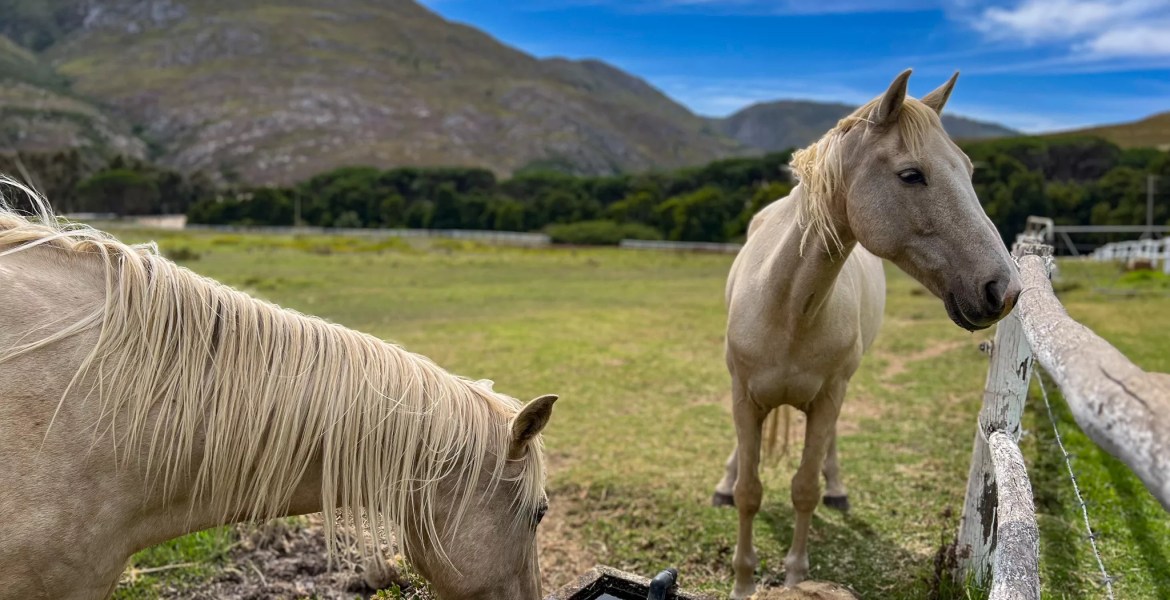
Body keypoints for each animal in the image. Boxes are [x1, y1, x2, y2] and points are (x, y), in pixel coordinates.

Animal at [706, 69, 1020, 594]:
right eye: (911, 174)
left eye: (968, 168)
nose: (1006, 288)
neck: (788, 308)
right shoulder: (744, 396)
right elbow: (751, 491)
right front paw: (744, 582)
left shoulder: (827, 397)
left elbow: (804, 489)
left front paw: (796, 577)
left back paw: (837, 488)